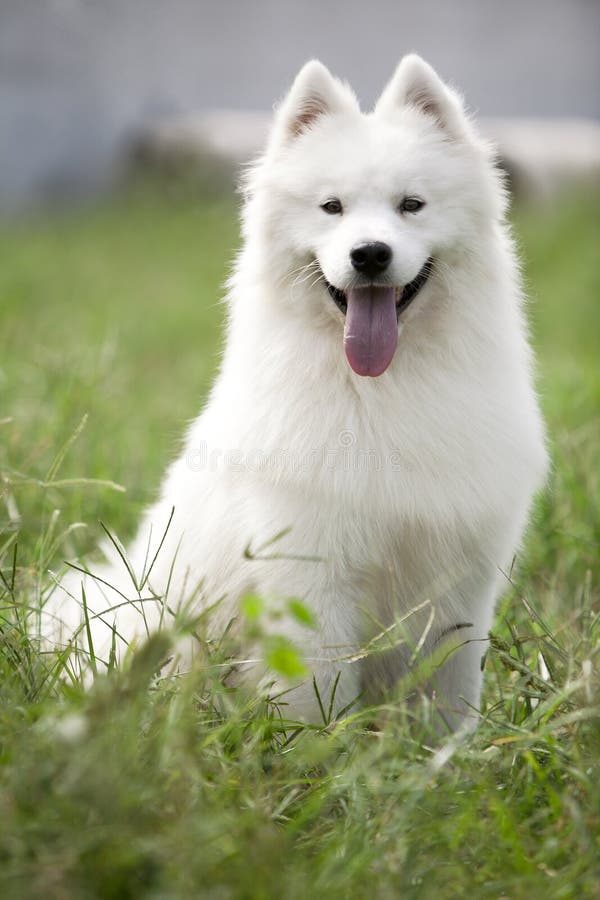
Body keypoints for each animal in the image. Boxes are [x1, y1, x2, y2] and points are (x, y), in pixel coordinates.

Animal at [43, 56, 548, 728]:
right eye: (331, 207)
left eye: (411, 205)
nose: (370, 253)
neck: (383, 388)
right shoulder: (311, 576)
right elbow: (318, 691)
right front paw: (318, 750)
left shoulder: (460, 583)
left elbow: (448, 693)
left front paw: (443, 752)